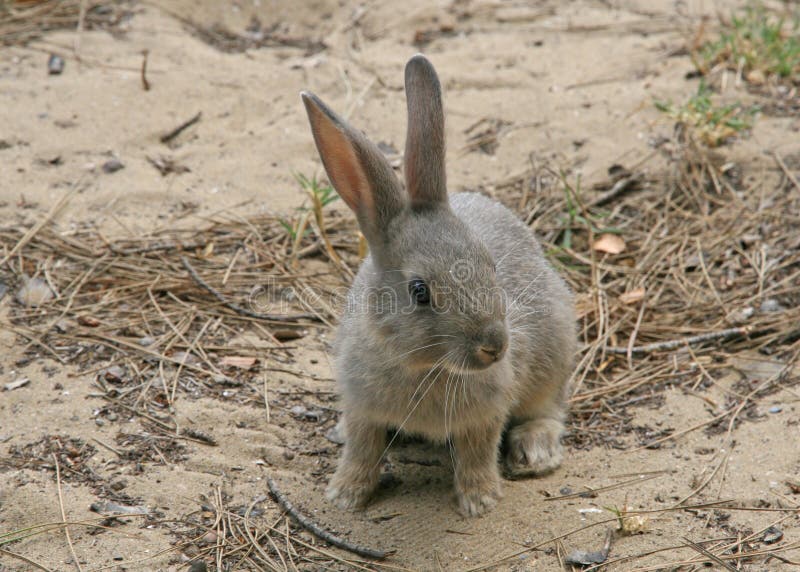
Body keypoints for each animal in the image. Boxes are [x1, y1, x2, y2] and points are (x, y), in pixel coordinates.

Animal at [300, 54, 576, 517]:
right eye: (419, 291)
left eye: (491, 266)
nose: (495, 347)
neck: (424, 366)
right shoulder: (362, 407)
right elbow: (362, 448)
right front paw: (345, 495)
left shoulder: (485, 413)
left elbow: (477, 451)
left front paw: (479, 500)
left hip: (554, 355)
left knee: (548, 409)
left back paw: (534, 451)